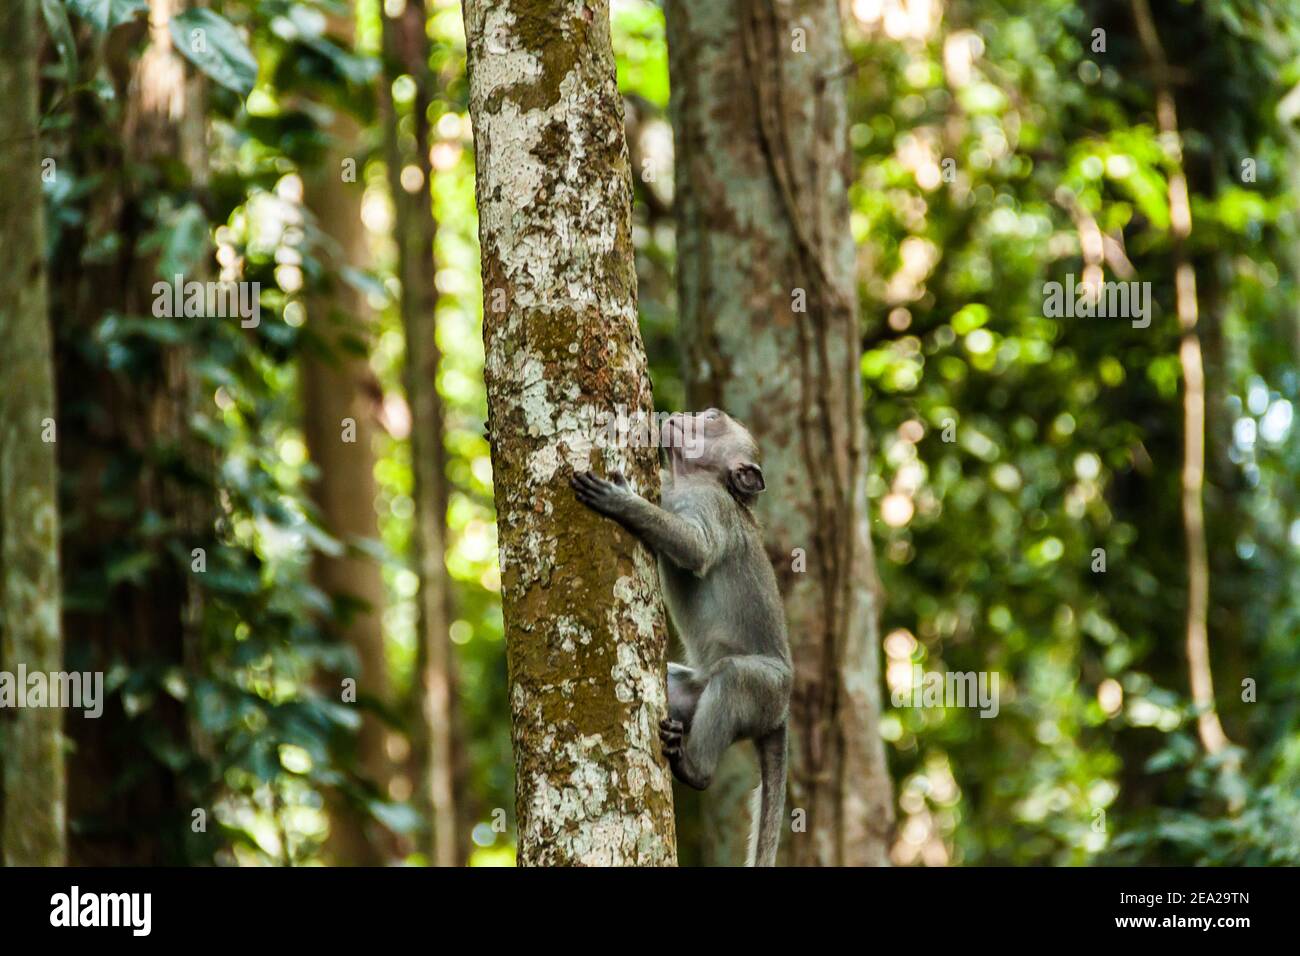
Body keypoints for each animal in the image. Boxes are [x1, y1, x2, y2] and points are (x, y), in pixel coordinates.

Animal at [570, 408, 792, 866]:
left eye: (713, 418)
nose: (679, 415)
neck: (691, 479)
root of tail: (782, 713)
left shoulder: (713, 506)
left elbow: (696, 549)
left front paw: (622, 502)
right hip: (696, 693)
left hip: (770, 688)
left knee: (734, 678)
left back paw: (695, 770)